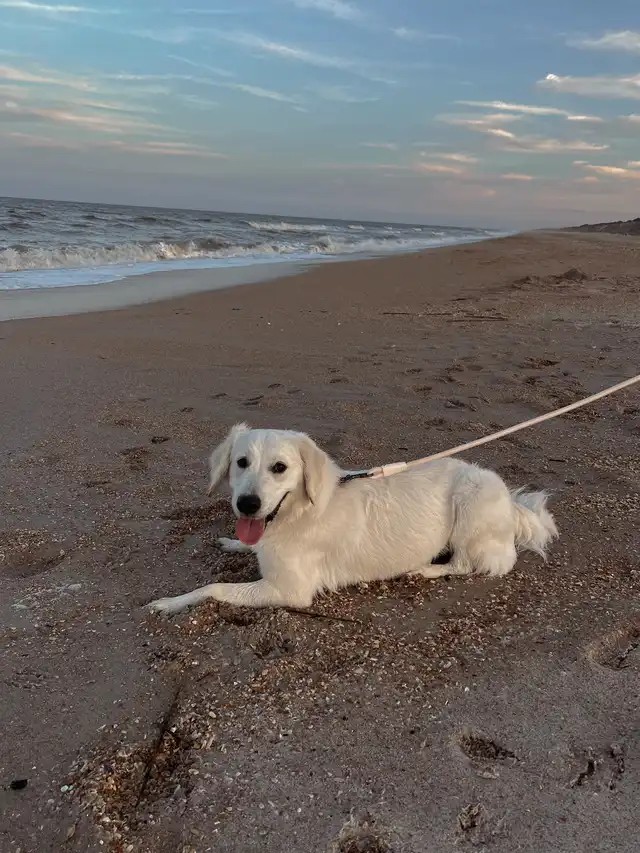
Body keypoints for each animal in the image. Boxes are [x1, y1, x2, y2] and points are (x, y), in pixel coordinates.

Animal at [147, 423, 558, 615]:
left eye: (280, 468)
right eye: (241, 462)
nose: (247, 504)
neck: (296, 514)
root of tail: (513, 504)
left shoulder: (290, 590)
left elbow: (213, 588)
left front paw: (170, 602)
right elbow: (247, 548)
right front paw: (234, 542)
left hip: (470, 504)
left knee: (469, 564)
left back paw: (424, 569)